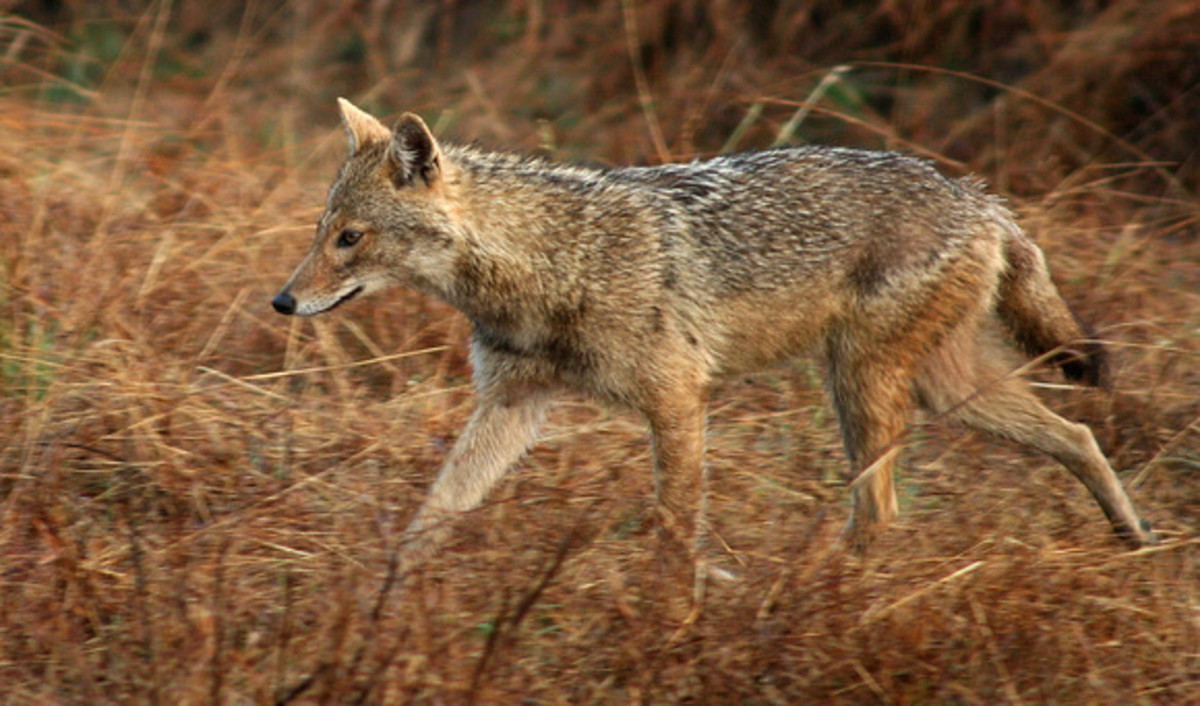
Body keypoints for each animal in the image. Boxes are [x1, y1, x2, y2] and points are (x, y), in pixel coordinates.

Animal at [272, 99, 1155, 577]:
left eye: (349, 239)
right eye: (321, 231)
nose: (282, 300)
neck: (549, 261)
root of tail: (982, 198)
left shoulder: (678, 403)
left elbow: (671, 533)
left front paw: (673, 620)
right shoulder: (512, 407)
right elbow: (432, 516)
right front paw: (385, 605)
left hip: (864, 388)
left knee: (881, 511)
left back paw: (809, 594)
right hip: (942, 390)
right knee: (1076, 434)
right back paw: (1134, 538)